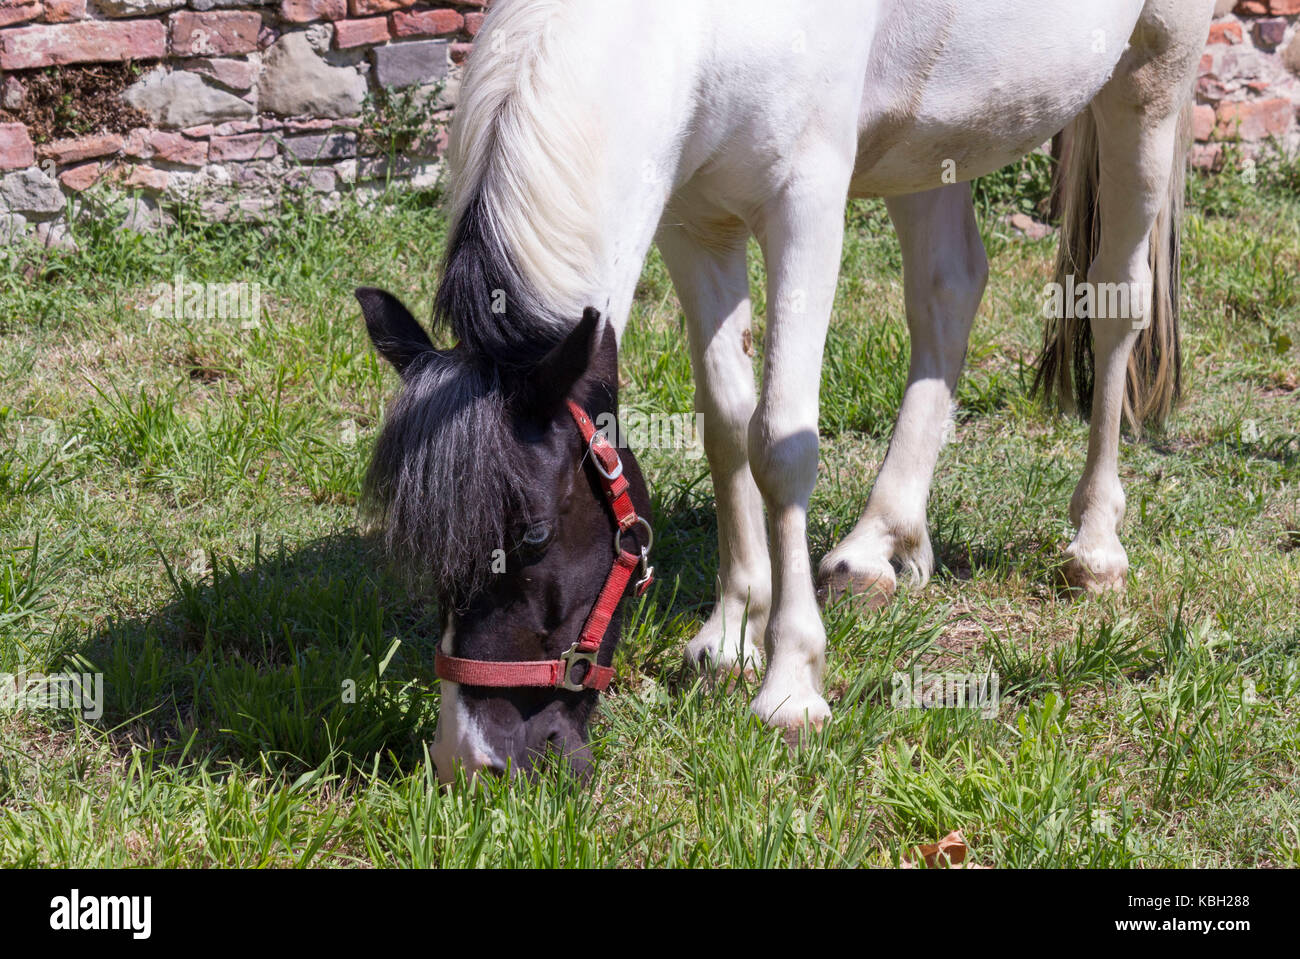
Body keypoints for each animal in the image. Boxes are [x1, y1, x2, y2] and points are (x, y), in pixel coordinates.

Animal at [356, 0, 1216, 781]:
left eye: (533, 535)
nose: (472, 762)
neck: (698, 26)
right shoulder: (693, 222)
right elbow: (725, 424)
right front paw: (733, 631)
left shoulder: (807, 201)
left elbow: (780, 440)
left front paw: (790, 685)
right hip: (934, 135)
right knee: (950, 288)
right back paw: (877, 543)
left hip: (1152, 75)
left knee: (1116, 299)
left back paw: (1095, 543)